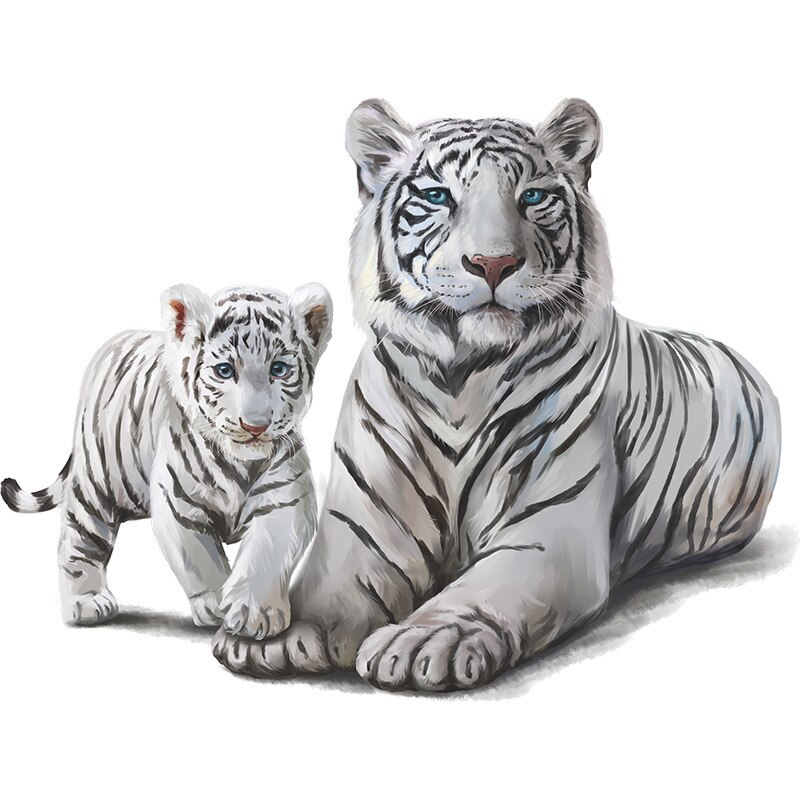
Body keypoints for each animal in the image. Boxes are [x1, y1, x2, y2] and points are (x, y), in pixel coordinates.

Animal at [2, 282, 332, 638]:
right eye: (225, 371)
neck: (241, 463)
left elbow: (267, 554)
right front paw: (216, 605)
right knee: (79, 536)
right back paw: (87, 602)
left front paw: (256, 613)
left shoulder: (286, 499)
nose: (254, 426)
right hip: (96, 481)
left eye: (279, 370)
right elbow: (202, 558)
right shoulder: (179, 504)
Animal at [212, 98, 781, 692]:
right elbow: (327, 587)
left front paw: (423, 641)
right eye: (437, 196)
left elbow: (479, 593)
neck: (460, 378)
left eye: (531, 196)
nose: (493, 264)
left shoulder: (547, 532)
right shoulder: (363, 527)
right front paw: (275, 632)